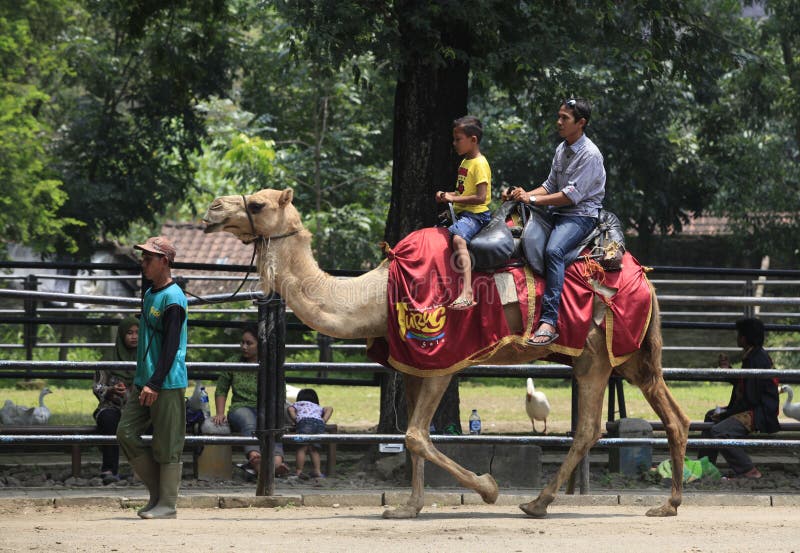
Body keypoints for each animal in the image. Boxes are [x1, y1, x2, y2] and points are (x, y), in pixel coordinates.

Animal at [203, 187, 690, 519]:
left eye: (258, 204)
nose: (211, 210)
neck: (376, 293)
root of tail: (644, 279)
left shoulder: (440, 356)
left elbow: (417, 436)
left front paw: (489, 488)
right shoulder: (411, 365)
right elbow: (410, 438)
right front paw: (408, 507)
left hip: (593, 357)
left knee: (589, 428)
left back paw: (537, 503)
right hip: (631, 357)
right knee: (673, 417)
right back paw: (667, 504)